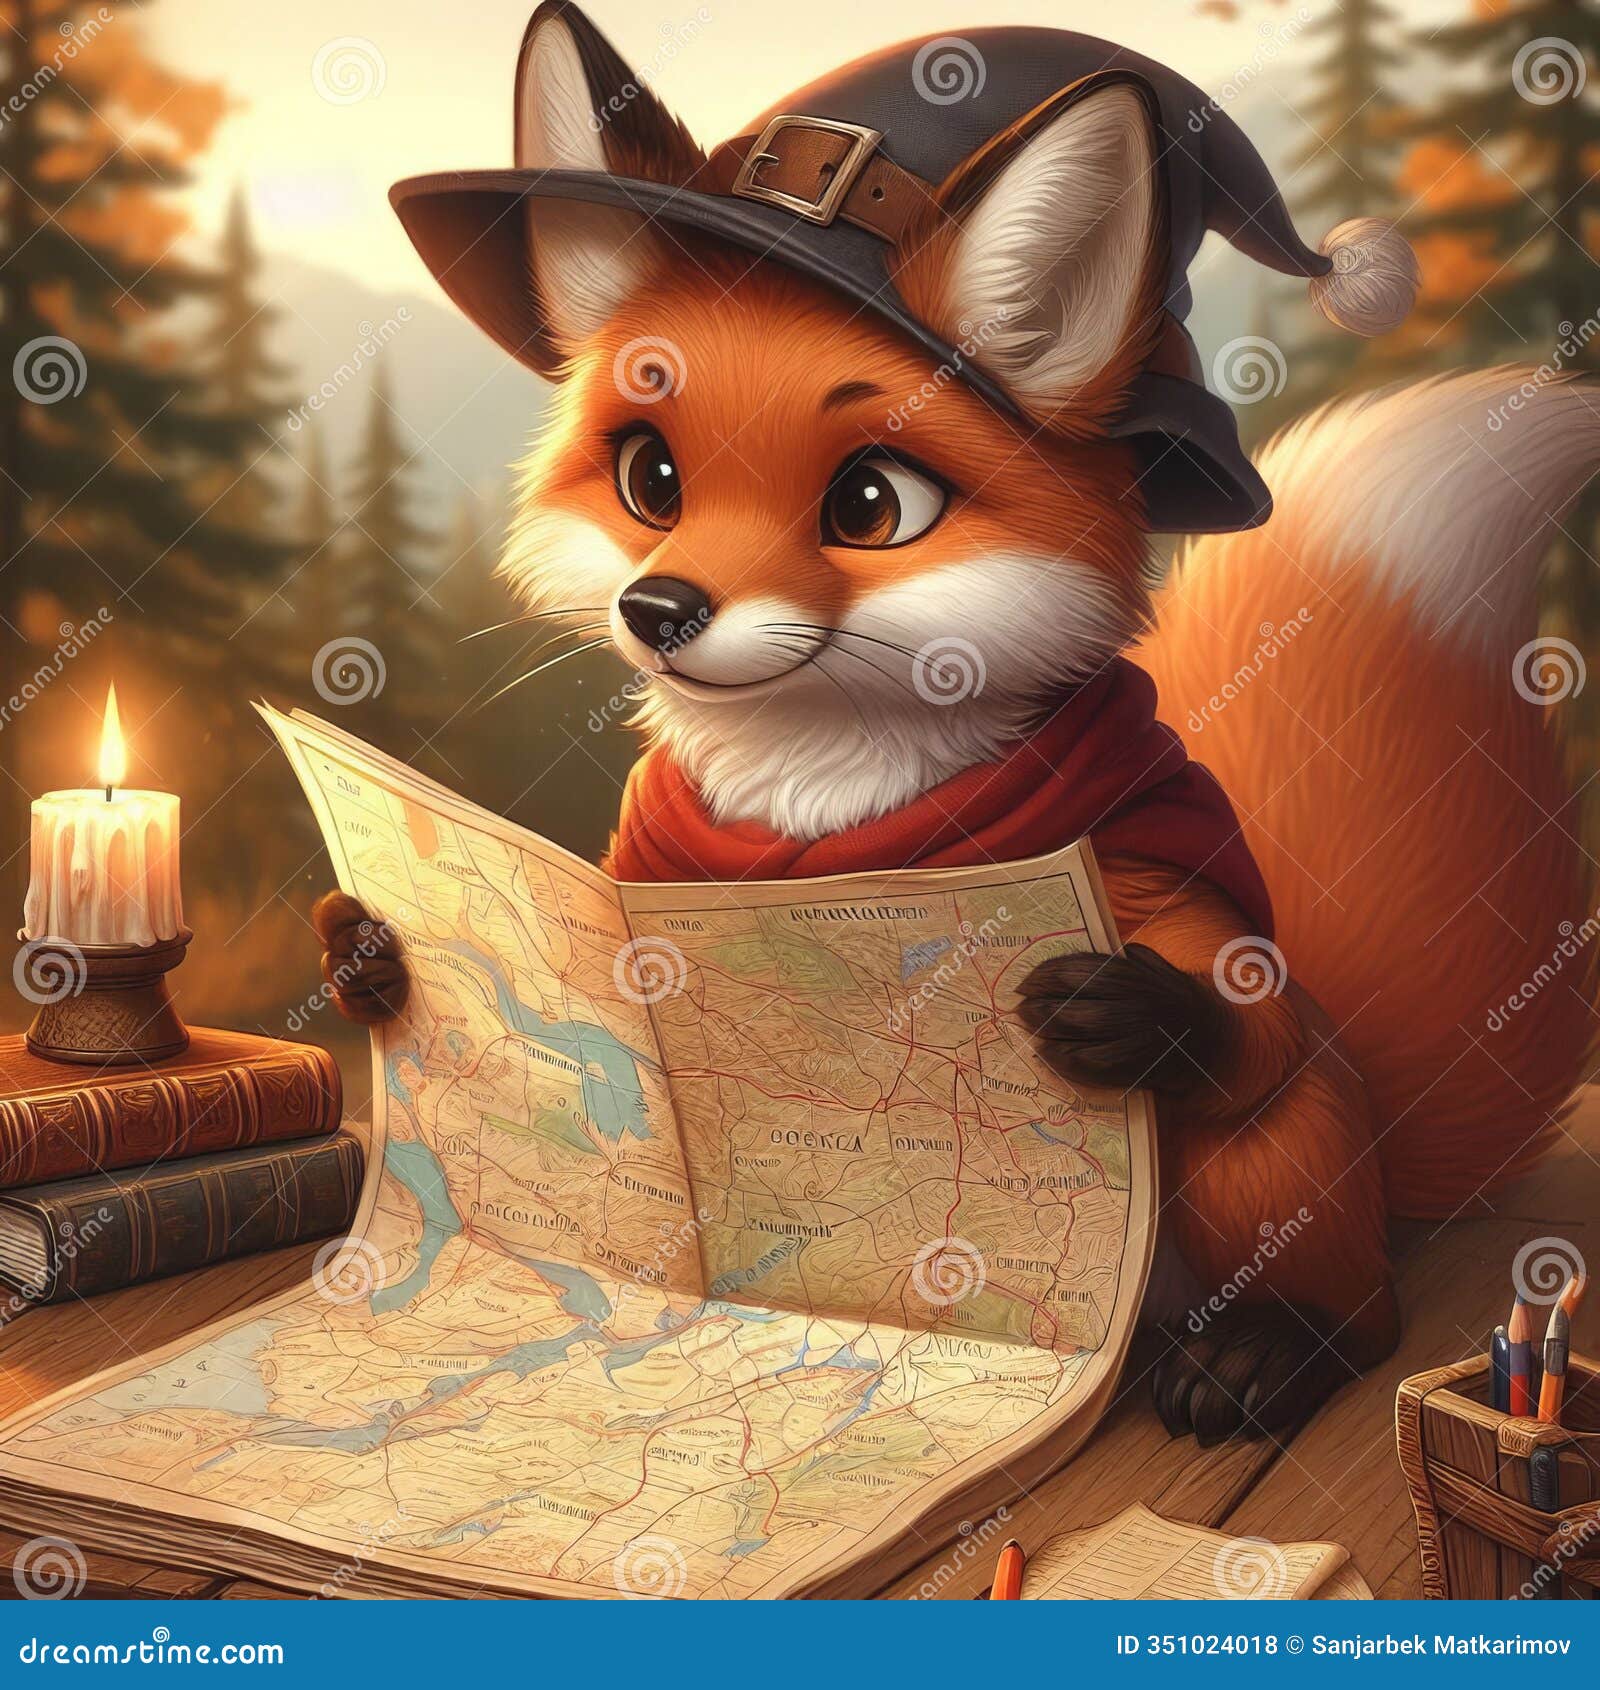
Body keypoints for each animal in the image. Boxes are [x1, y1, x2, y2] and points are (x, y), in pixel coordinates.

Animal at [317, 7, 1597, 1445]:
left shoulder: (1152, 873)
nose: (659, 608)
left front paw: (1135, 1016)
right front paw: (370, 956)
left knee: (1358, 1295)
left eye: (871, 503)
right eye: (652, 475)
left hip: (1287, 1166)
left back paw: (1268, 1345)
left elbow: (1243, 1018)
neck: (825, 813)